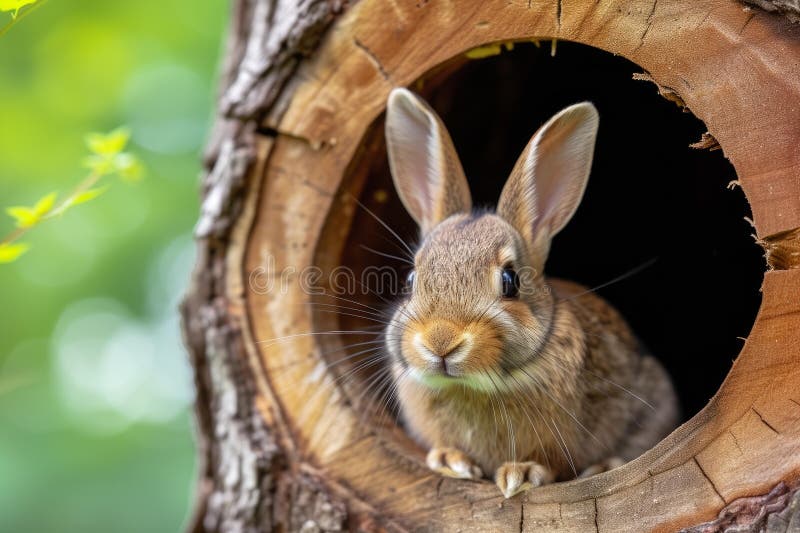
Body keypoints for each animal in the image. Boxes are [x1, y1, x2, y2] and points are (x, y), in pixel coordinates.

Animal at [382, 88, 679, 499]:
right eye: (411, 279)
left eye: (510, 281)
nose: (441, 341)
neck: (474, 386)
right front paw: (450, 460)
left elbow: (550, 463)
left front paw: (521, 473)